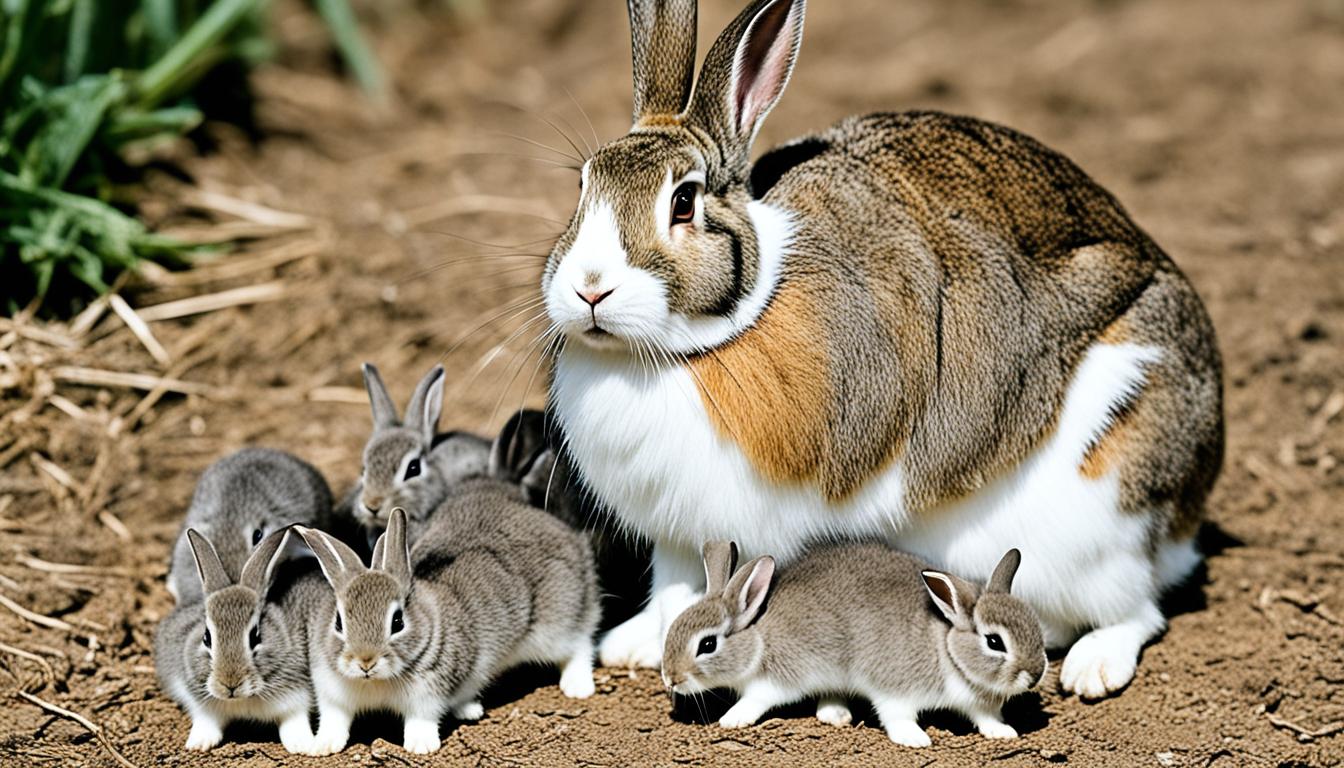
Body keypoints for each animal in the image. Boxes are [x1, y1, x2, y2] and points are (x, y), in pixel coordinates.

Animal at [155, 527, 323, 752]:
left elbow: (294, 721)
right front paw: (198, 744)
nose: (230, 684)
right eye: (206, 638)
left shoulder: (296, 699)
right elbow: (206, 720)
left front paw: (302, 745)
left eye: (255, 637)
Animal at [294, 503, 598, 756]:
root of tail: (568, 536)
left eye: (397, 622)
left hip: (554, 627)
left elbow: (421, 720)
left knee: (580, 643)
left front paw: (421, 746)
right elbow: (335, 722)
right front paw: (321, 746)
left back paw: (578, 687)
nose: (365, 662)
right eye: (338, 622)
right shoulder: (333, 696)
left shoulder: (427, 695)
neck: (377, 681)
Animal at [540, 0, 1223, 698]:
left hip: (1100, 519)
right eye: (582, 188)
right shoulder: (677, 531)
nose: (589, 288)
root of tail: (1185, 515)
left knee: (1137, 609)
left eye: (683, 201)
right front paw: (638, 644)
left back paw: (1094, 668)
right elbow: (676, 587)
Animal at [663, 542, 1047, 747]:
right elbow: (897, 715)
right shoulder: (893, 688)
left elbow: (984, 718)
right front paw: (915, 738)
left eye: (707, 644)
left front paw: (1003, 732)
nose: (670, 678)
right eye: (995, 641)